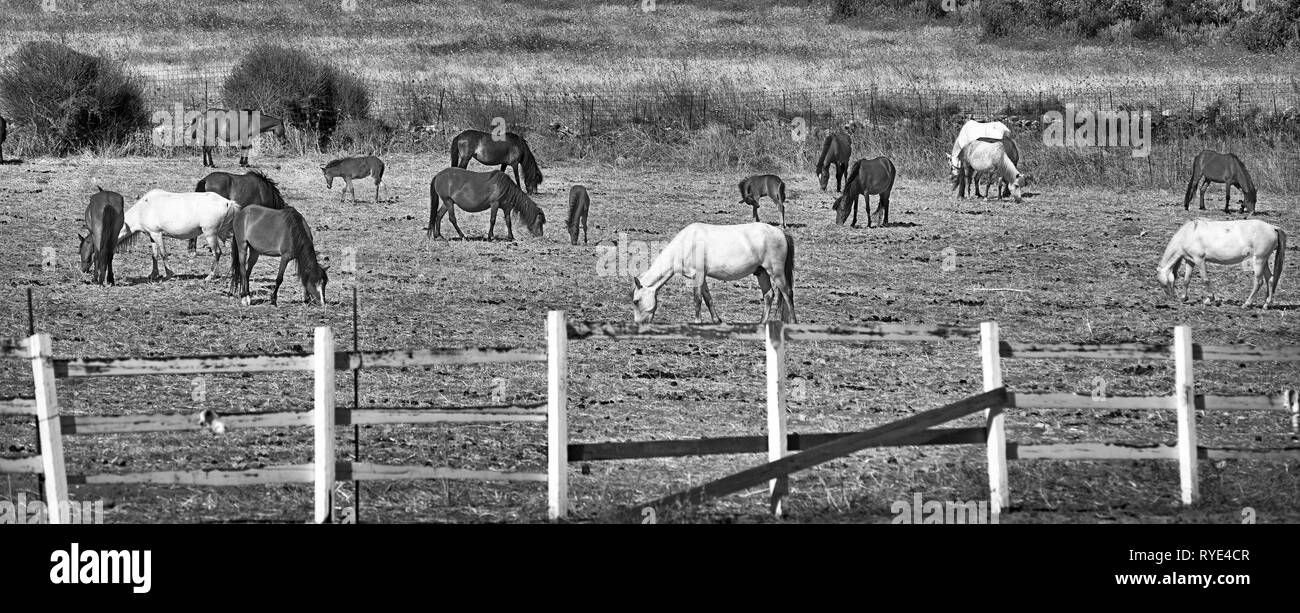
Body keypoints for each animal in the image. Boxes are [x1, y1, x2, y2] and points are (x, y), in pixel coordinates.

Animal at [632, 222, 795, 324]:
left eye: (636, 301)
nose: (638, 324)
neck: (686, 243)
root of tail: (781, 233)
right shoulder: (701, 277)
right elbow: (707, 298)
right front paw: (716, 320)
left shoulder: (697, 276)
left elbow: (697, 300)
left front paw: (697, 322)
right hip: (762, 273)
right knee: (769, 295)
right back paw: (761, 323)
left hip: (776, 273)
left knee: (787, 293)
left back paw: (793, 322)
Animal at [1157, 219, 1285, 308]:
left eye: (1163, 283)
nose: (1171, 297)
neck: (1188, 234)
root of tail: (1272, 228)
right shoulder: (1190, 261)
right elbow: (1186, 280)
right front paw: (1184, 298)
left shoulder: (1199, 260)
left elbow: (1205, 280)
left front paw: (1209, 299)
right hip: (1264, 261)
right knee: (1270, 279)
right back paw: (1266, 304)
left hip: (1259, 260)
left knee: (1258, 282)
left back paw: (1246, 304)